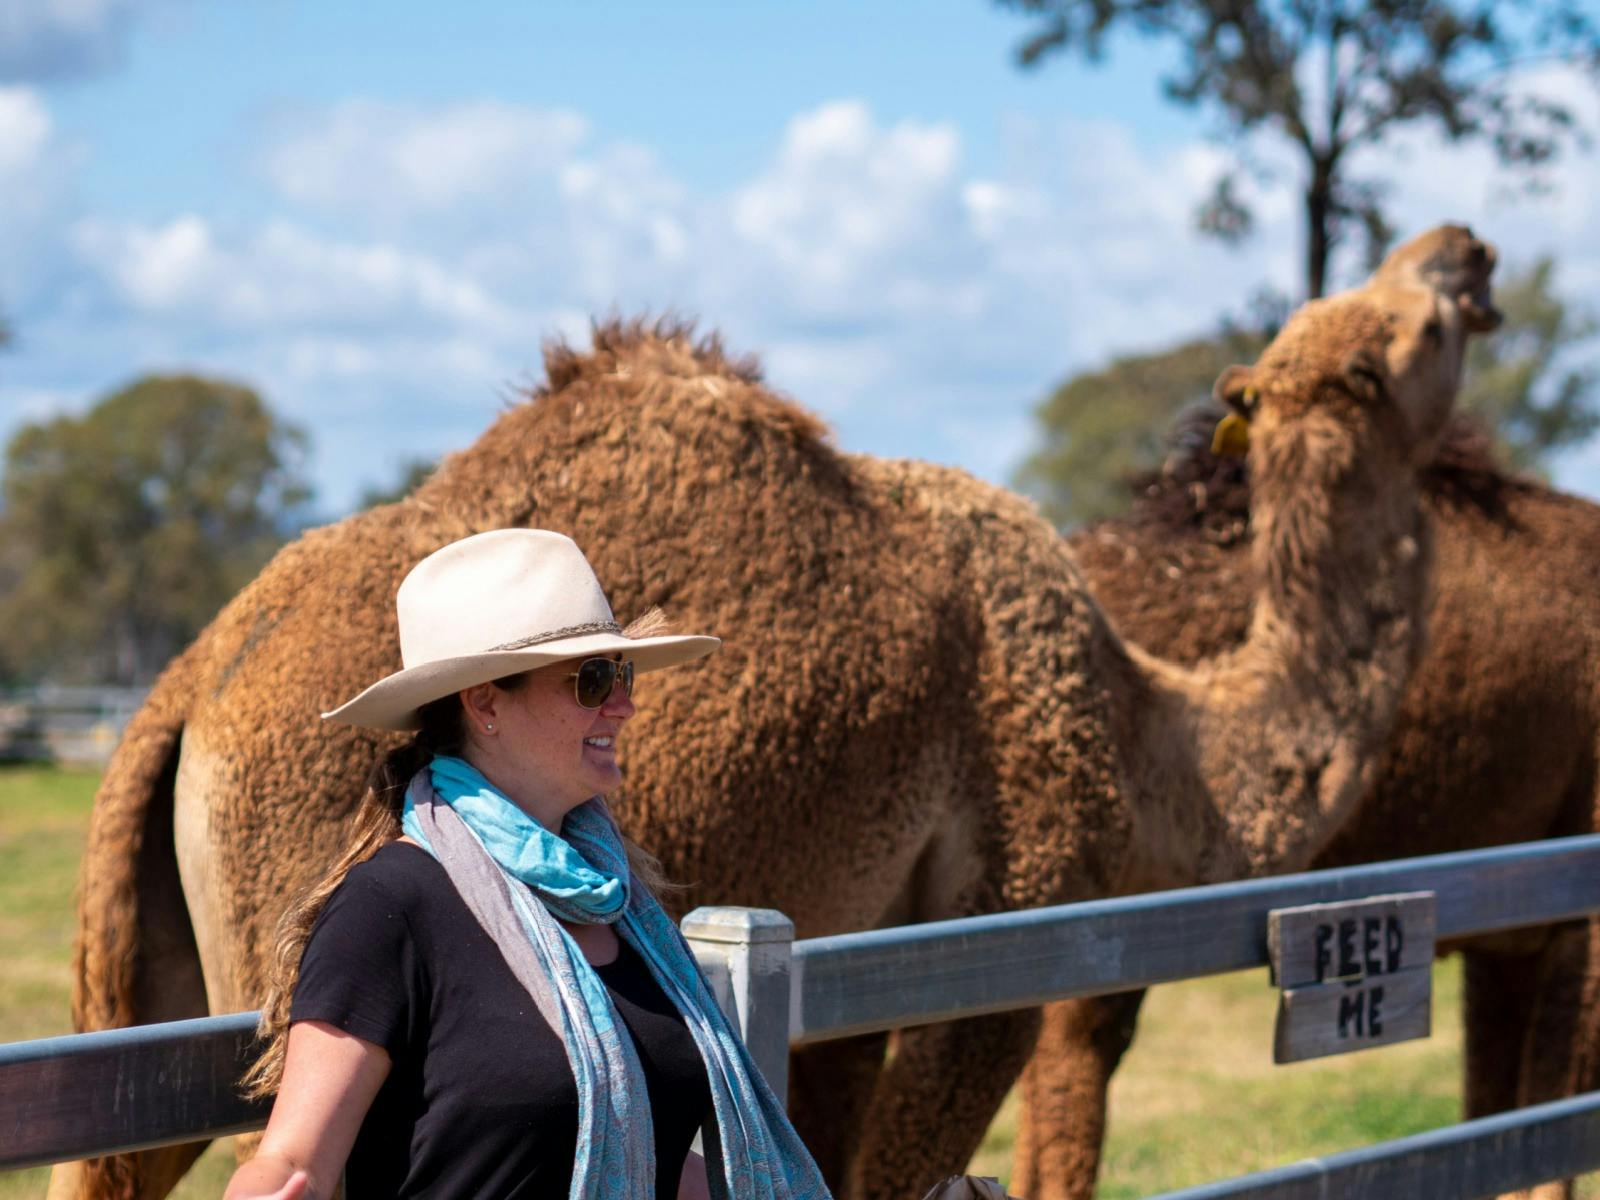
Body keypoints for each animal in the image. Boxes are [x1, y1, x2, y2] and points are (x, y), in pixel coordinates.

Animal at [49, 225, 1496, 1200]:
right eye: (1408, 332)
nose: (1466, 249)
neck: (1150, 723)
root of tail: (180, 696)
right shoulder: (1007, 909)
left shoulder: (856, 942)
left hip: (153, 972)